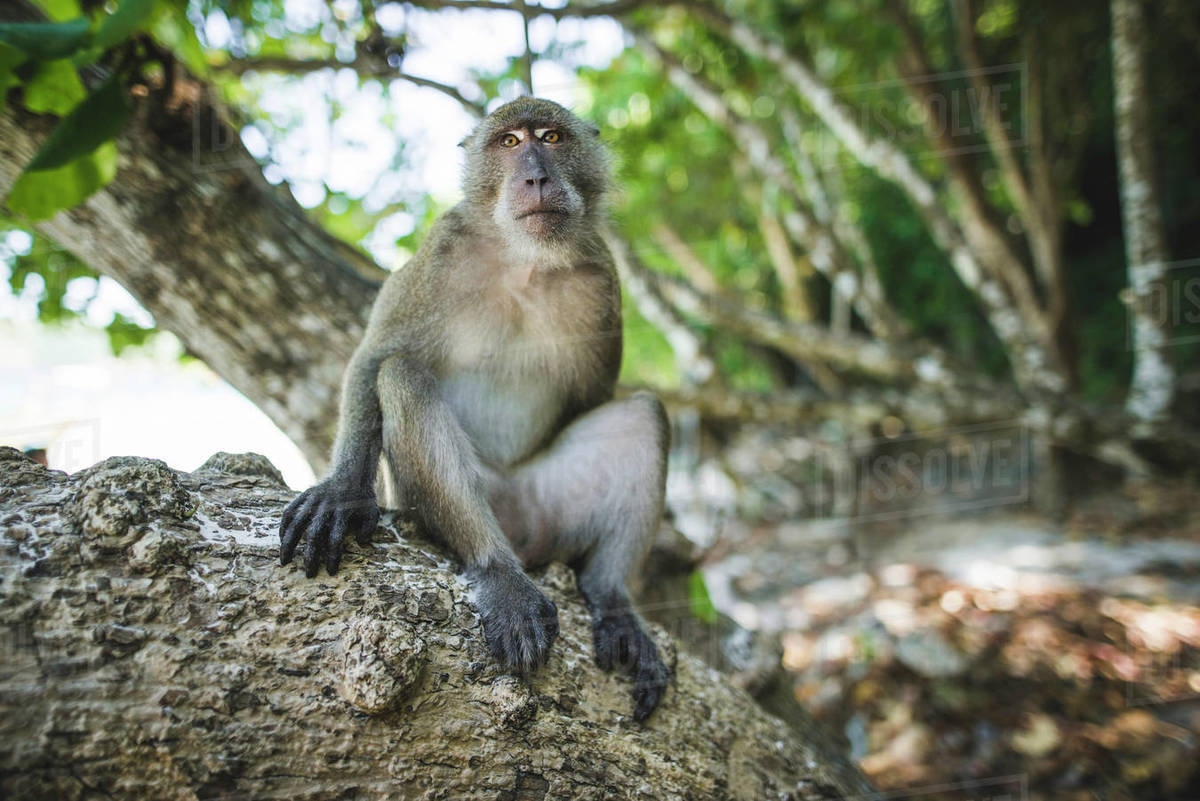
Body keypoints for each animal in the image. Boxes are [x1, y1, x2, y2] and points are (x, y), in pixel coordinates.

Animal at [279, 97, 671, 721]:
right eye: (509, 143)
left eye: (552, 138)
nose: (535, 176)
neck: (525, 261)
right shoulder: (442, 251)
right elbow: (376, 357)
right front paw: (341, 490)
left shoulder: (601, 279)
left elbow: (597, 401)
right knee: (404, 376)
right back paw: (498, 571)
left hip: (548, 505)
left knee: (644, 415)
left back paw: (611, 596)